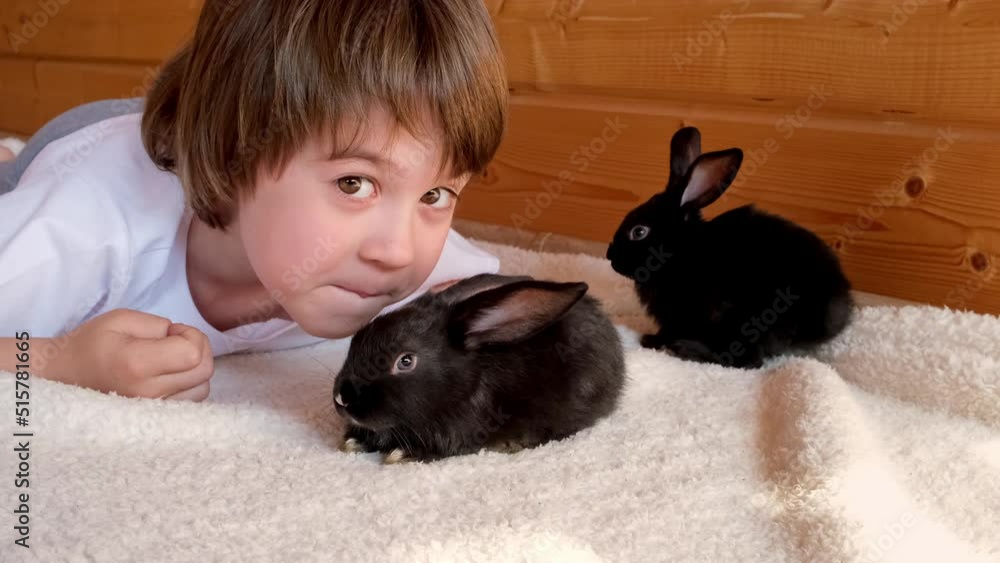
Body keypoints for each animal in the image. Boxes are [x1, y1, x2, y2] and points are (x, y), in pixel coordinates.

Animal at [606, 126, 853, 369]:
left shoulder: (681, 313)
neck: (678, 249)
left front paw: (652, 341)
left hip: (749, 317)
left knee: (747, 360)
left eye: (639, 232)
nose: (609, 255)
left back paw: (687, 350)